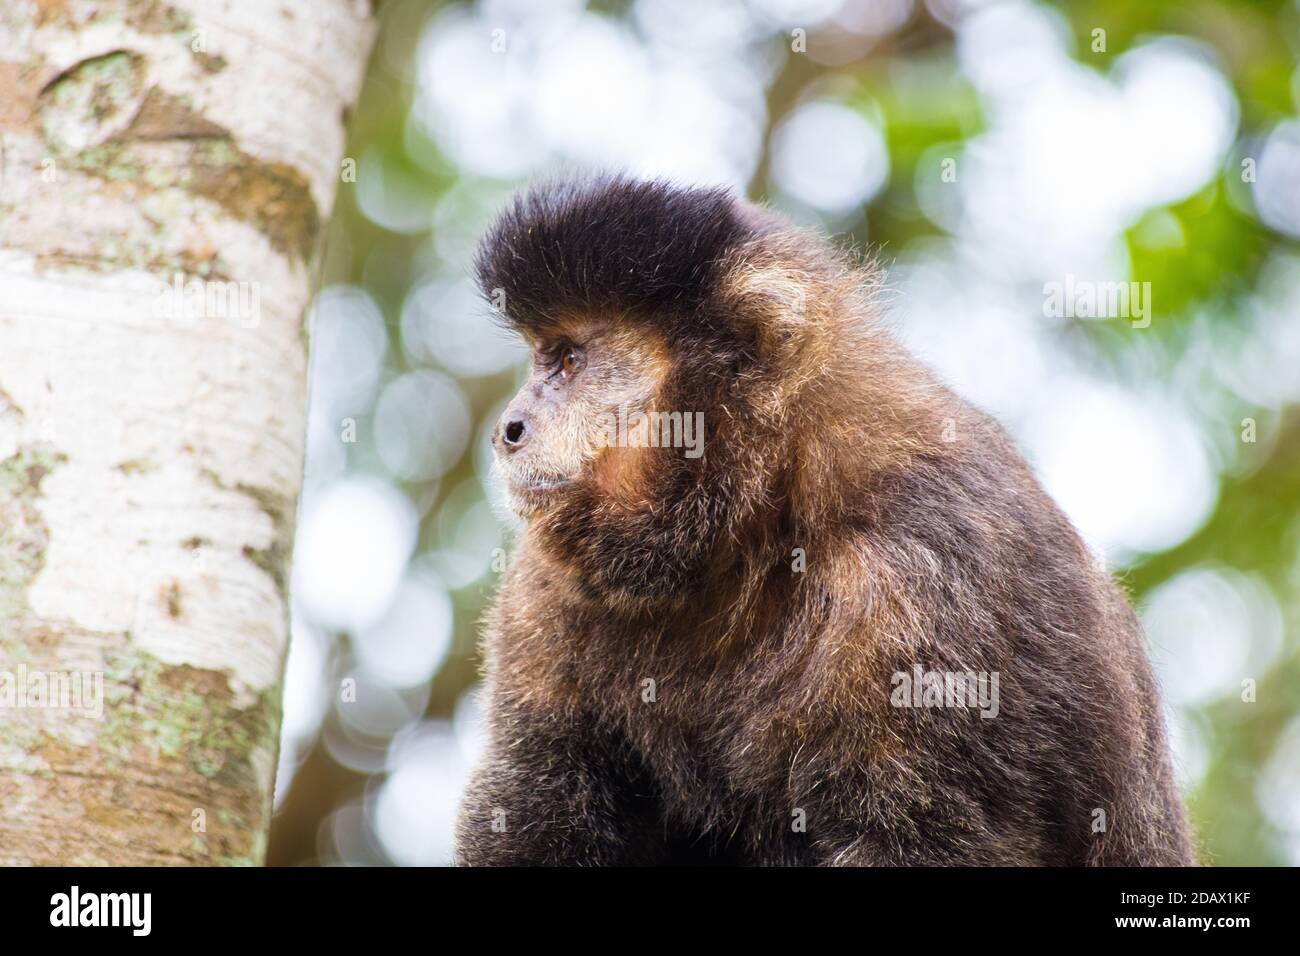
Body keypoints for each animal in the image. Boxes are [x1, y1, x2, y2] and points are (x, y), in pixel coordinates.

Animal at [454, 176, 1194, 866]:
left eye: (568, 360)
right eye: (544, 359)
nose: (507, 428)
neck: (756, 534)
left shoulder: (928, 581)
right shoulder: (542, 593)